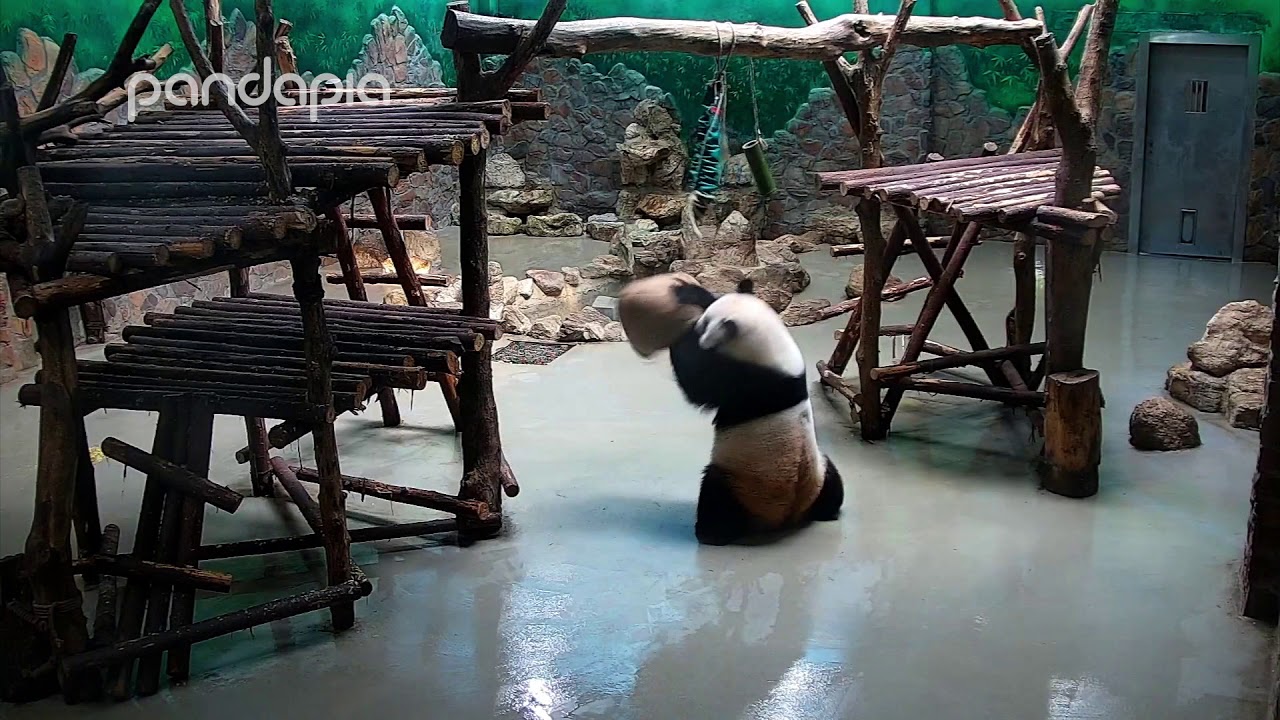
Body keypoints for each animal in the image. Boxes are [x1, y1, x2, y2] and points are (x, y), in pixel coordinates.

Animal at [619, 274, 845, 545]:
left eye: (704, 325)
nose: (699, 329)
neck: (772, 348)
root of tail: (787, 516)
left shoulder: (748, 382)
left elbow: (698, 385)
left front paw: (684, 304)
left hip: (743, 483)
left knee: (715, 495)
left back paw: (709, 532)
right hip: (817, 472)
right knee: (833, 481)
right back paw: (829, 512)